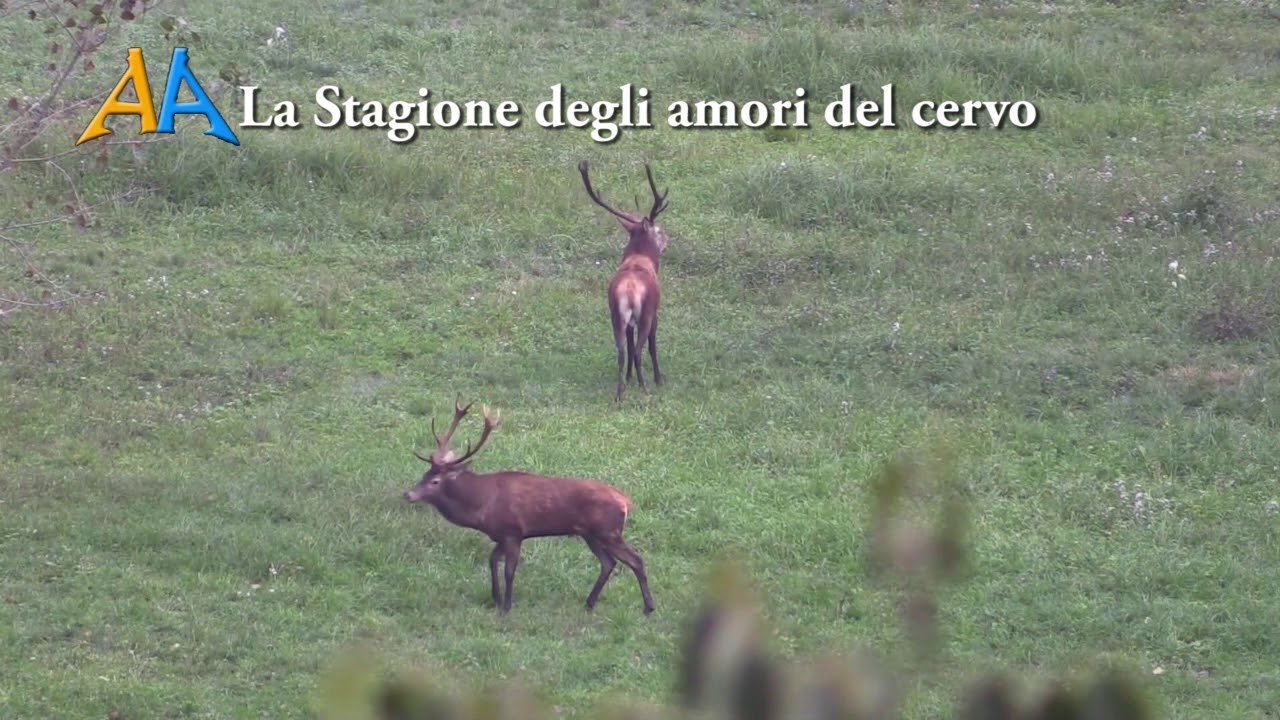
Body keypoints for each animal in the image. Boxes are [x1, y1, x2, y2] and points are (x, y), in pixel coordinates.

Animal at [403, 398, 656, 615]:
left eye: (435, 481)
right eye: (424, 474)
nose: (408, 494)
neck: (481, 506)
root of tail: (626, 501)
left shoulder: (513, 531)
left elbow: (509, 571)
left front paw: (506, 607)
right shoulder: (501, 535)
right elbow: (492, 560)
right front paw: (495, 598)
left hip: (608, 530)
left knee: (636, 560)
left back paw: (648, 607)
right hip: (590, 534)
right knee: (608, 563)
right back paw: (589, 603)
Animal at [578, 159, 671, 402]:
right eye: (659, 230)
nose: (667, 239)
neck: (640, 258)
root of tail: (628, 291)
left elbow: (628, 346)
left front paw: (629, 378)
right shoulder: (655, 310)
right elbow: (652, 345)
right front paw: (658, 378)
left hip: (615, 314)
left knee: (621, 350)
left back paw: (620, 392)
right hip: (644, 312)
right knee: (638, 349)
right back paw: (644, 387)